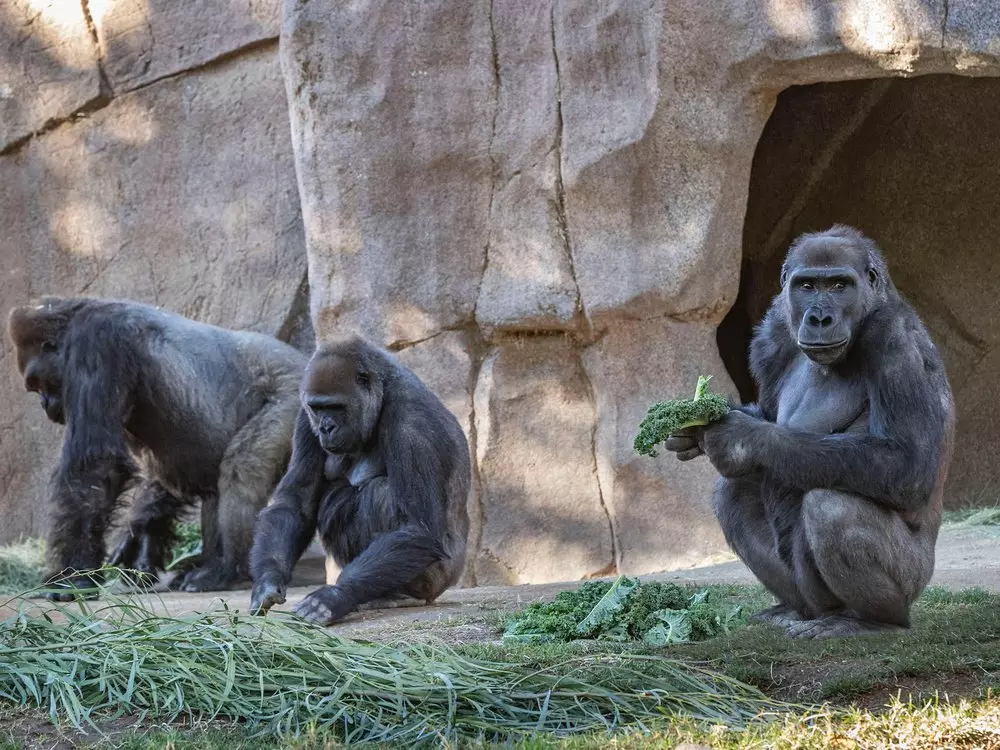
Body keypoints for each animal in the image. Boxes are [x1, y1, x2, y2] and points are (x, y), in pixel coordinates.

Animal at [6, 296, 308, 604]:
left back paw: (226, 569)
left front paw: (74, 575)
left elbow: (96, 467)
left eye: (38, 382)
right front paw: (139, 534)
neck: (75, 317)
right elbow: (166, 473)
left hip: (294, 395)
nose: (44, 404)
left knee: (242, 470)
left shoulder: (96, 342)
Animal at [248, 338, 470, 624]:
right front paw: (267, 582)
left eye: (335, 407)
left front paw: (336, 596)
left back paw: (400, 594)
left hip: (439, 580)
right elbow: (295, 503)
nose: (326, 428)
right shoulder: (305, 418)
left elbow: (417, 528)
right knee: (337, 497)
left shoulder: (412, 422)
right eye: (318, 408)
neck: (383, 392)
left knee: (379, 493)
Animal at [664, 223, 952, 640]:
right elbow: (767, 415)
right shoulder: (773, 334)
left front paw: (738, 439)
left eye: (839, 285)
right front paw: (696, 427)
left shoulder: (893, 336)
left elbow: (906, 463)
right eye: (806, 285)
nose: (819, 318)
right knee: (733, 493)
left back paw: (870, 620)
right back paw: (792, 609)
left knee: (832, 507)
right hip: (806, 595)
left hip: (914, 580)